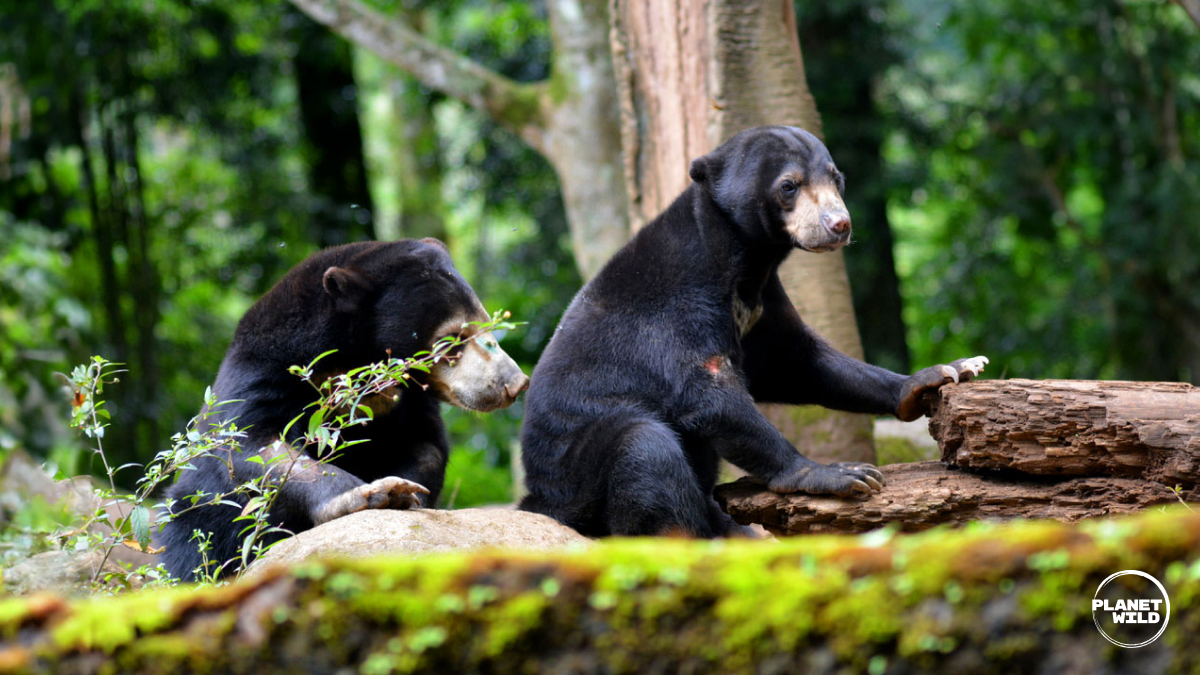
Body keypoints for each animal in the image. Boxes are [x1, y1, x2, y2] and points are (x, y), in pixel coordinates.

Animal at [158, 238, 529, 581]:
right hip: (198, 514)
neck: (355, 360)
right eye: (450, 340)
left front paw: (406, 494)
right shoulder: (265, 367)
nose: (515, 383)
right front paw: (373, 493)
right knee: (190, 549)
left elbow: (424, 445)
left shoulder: (410, 400)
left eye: (487, 323)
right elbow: (253, 445)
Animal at [518, 126, 987, 538]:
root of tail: (539, 500)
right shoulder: (676, 304)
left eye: (837, 179)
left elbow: (799, 364)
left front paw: (946, 372)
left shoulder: (762, 308)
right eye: (789, 185)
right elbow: (706, 390)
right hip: (576, 476)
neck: (748, 261)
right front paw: (841, 473)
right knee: (643, 447)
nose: (839, 225)